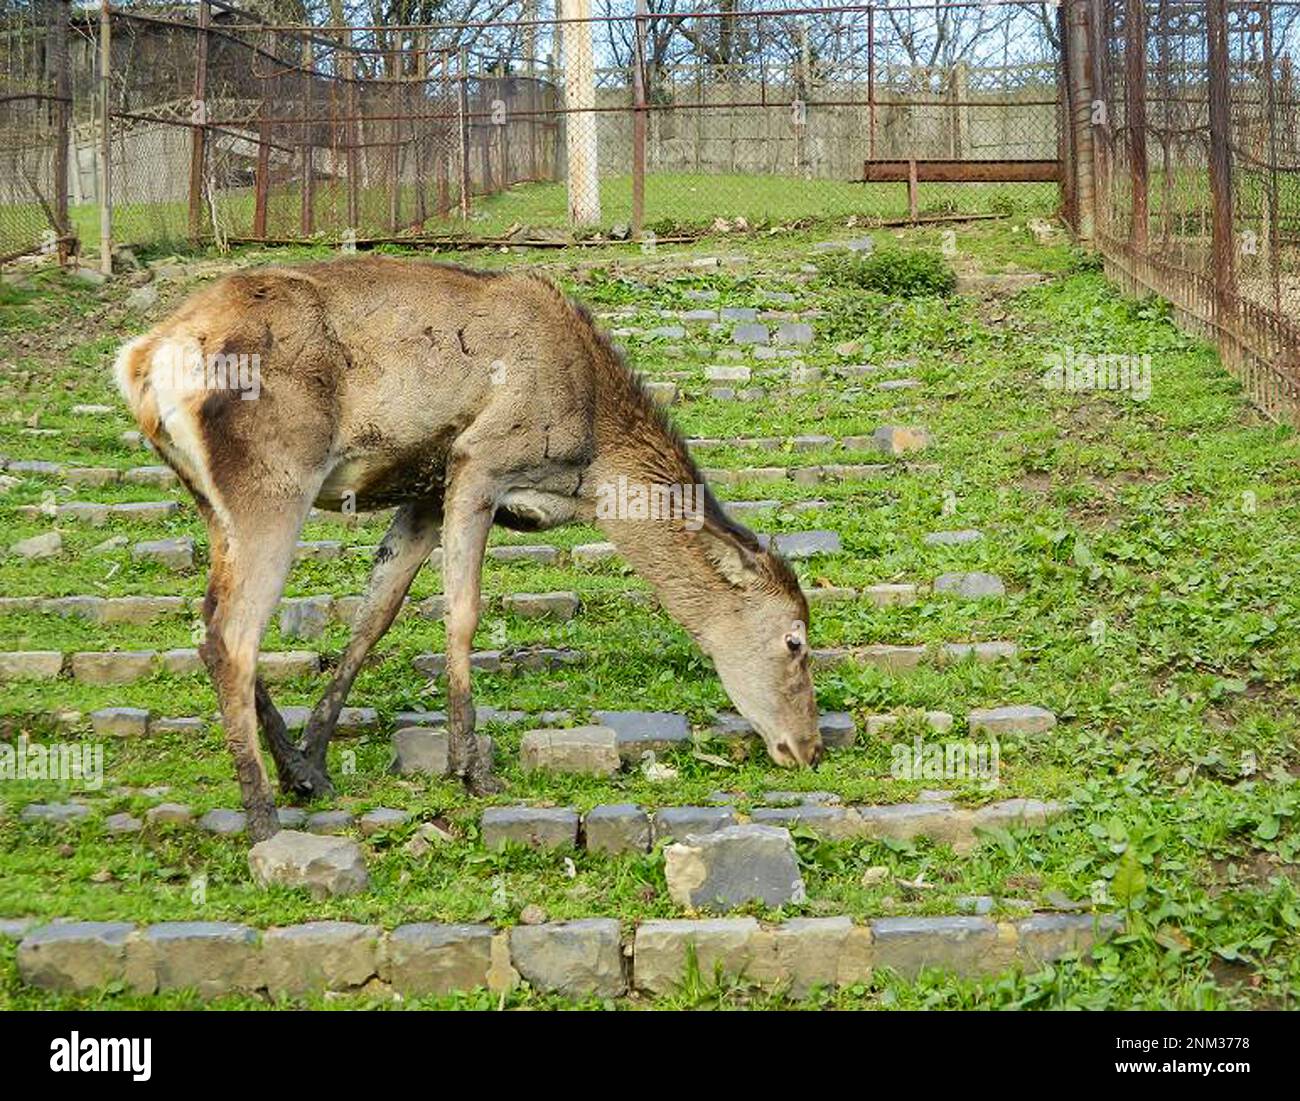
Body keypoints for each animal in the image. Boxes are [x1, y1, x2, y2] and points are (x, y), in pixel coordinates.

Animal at [114, 256, 823, 842]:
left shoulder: (425, 491)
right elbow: (463, 612)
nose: (810, 749)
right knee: (231, 636)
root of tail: (141, 360)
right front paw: (470, 767)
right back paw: (262, 816)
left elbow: (374, 618)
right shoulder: (479, 460)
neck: (589, 464)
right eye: (796, 640)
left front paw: (315, 758)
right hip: (273, 480)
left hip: (208, 497)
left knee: (212, 619)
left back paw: (294, 773)